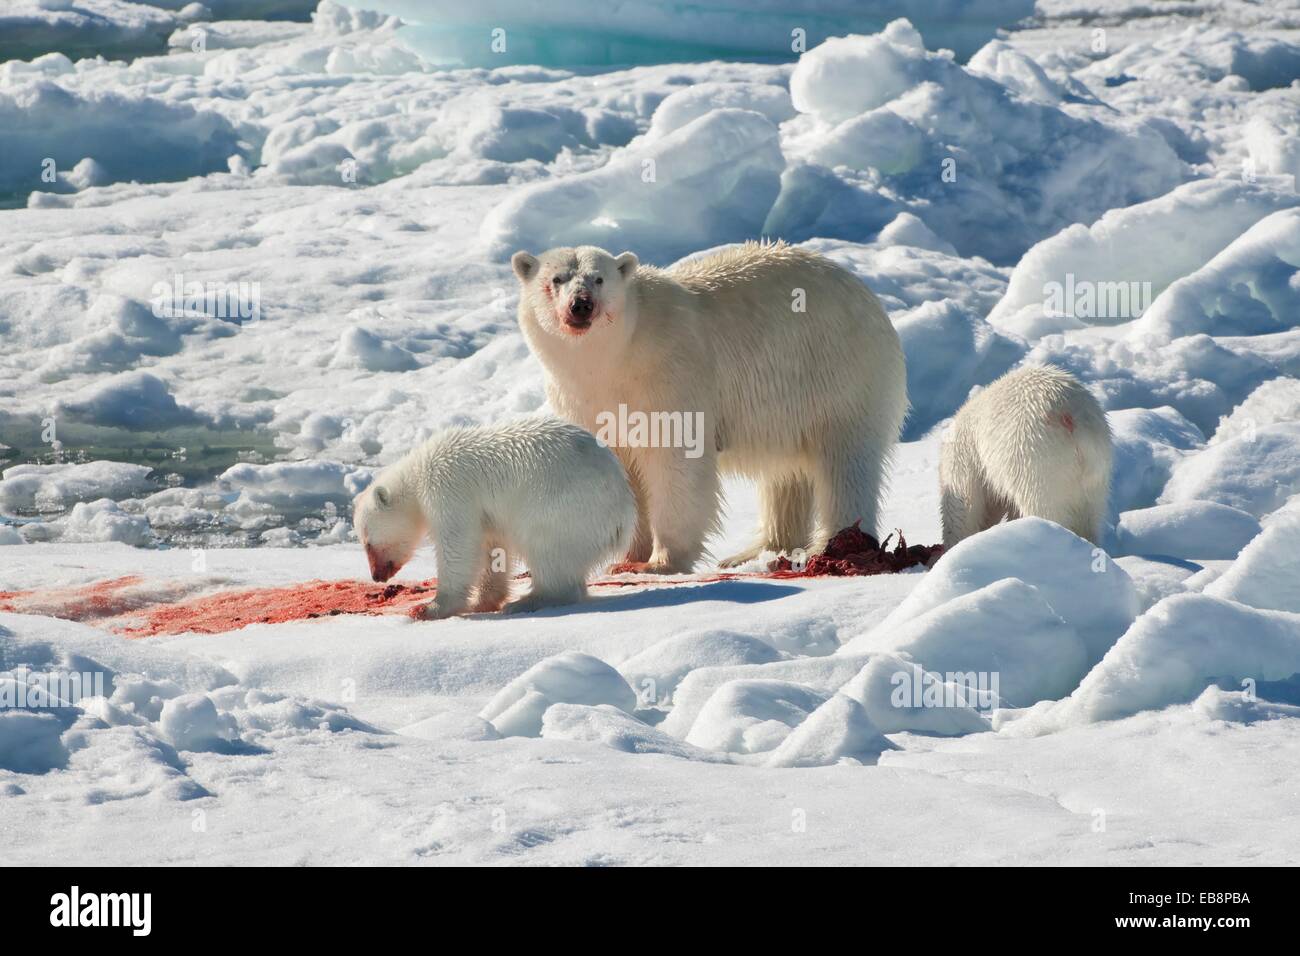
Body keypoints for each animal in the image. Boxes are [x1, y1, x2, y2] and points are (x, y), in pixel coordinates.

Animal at [352, 417, 635, 618]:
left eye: (367, 542)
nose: (376, 576)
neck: (418, 473)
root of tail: (624, 513)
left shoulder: (448, 489)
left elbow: (458, 544)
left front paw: (428, 608)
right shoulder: (485, 513)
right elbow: (492, 547)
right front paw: (483, 601)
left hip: (564, 508)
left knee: (546, 548)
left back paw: (529, 601)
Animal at [510, 240, 908, 574]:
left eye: (599, 278)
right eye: (556, 279)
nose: (581, 304)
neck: (616, 357)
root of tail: (870, 298)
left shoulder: (667, 372)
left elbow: (675, 462)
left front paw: (661, 561)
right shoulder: (584, 398)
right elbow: (621, 468)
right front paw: (626, 560)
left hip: (840, 374)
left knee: (845, 463)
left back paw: (831, 547)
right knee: (785, 474)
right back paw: (755, 551)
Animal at [939, 364, 1112, 549]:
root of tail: (1070, 418)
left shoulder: (966, 458)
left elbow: (962, 508)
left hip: (1035, 460)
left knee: (1046, 508)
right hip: (1096, 470)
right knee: (1090, 516)